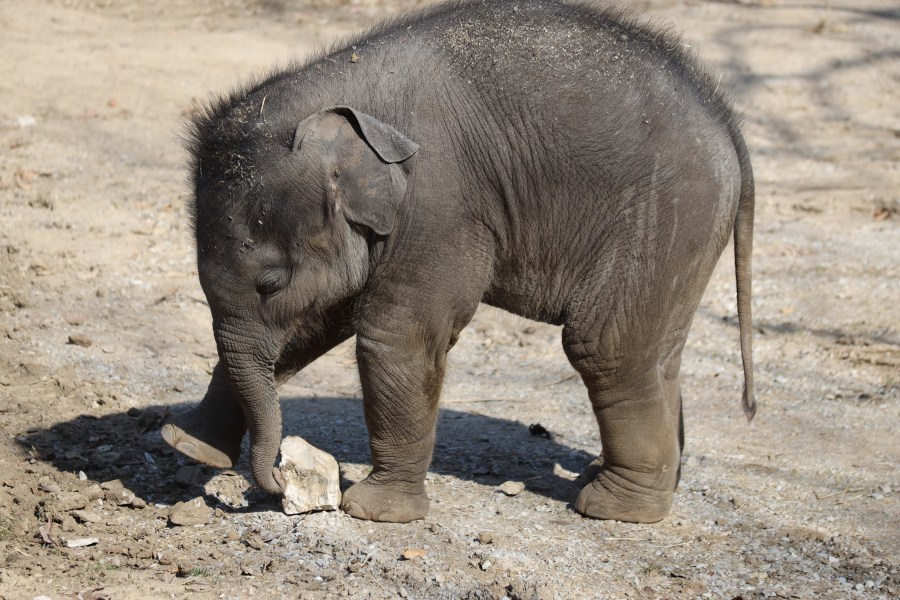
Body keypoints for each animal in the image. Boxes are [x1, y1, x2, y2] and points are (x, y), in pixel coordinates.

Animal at [160, 0, 755, 524]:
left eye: (270, 281)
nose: (279, 477)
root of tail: (725, 117)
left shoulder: (438, 205)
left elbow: (397, 335)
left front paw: (373, 512)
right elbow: (313, 327)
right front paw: (188, 447)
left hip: (666, 214)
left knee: (607, 347)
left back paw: (614, 508)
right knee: (657, 353)